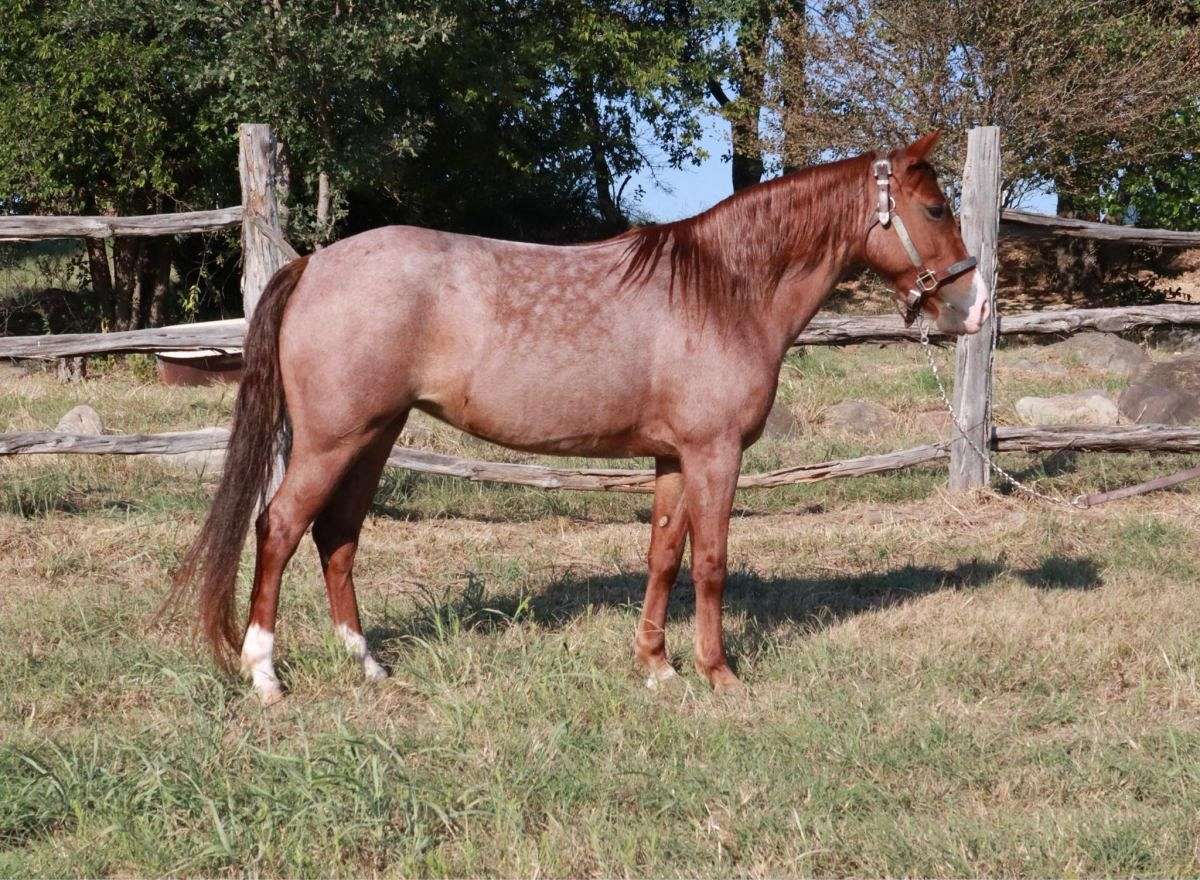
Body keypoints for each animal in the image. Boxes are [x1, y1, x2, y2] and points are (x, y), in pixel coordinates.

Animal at [172, 131, 988, 704]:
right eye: (934, 208)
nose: (975, 307)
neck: (724, 289)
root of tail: (313, 264)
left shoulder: (673, 457)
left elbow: (664, 556)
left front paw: (656, 667)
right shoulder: (716, 452)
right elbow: (713, 563)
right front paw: (718, 674)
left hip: (375, 436)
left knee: (337, 536)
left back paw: (368, 664)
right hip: (331, 440)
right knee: (280, 527)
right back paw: (266, 676)